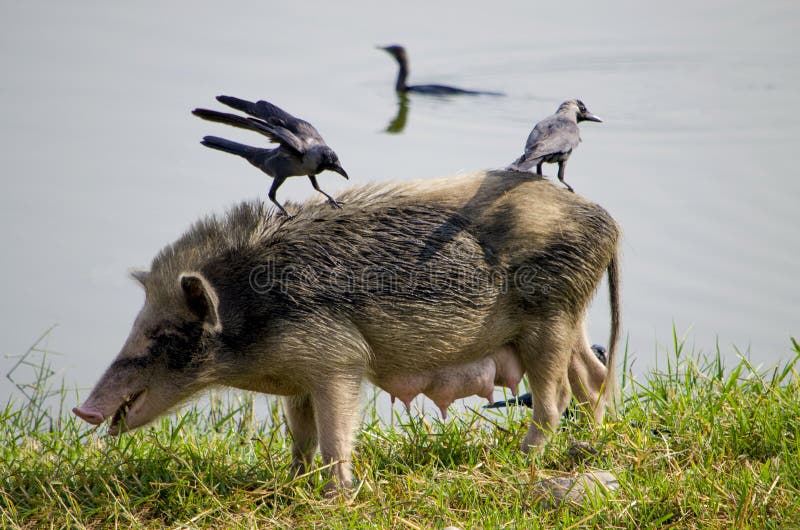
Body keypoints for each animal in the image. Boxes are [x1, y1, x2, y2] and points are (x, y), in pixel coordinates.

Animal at [73, 169, 620, 490]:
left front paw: (338, 495)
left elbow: (337, 436)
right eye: (137, 325)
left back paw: (518, 459)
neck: (251, 311)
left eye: (164, 333)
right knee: (591, 376)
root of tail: (608, 222)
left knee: (555, 399)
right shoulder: (298, 378)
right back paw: (591, 443)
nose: (83, 409)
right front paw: (292, 483)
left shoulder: (336, 360)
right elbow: (301, 437)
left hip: (549, 320)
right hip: (569, 318)